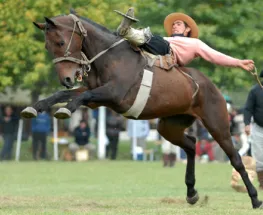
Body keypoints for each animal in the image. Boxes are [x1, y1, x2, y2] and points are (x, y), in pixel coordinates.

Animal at [21, 9, 263, 208]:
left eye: (61, 42)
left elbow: (81, 96)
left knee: (236, 159)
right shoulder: (98, 97)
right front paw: (34, 108)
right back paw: (191, 192)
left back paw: (254, 198)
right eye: (47, 46)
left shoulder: (112, 94)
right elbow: (64, 95)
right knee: (191, 145)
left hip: (217, 125)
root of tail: (210, 87)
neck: (111, 57)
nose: (67, 79)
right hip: (169, 126)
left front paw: (65, 110)